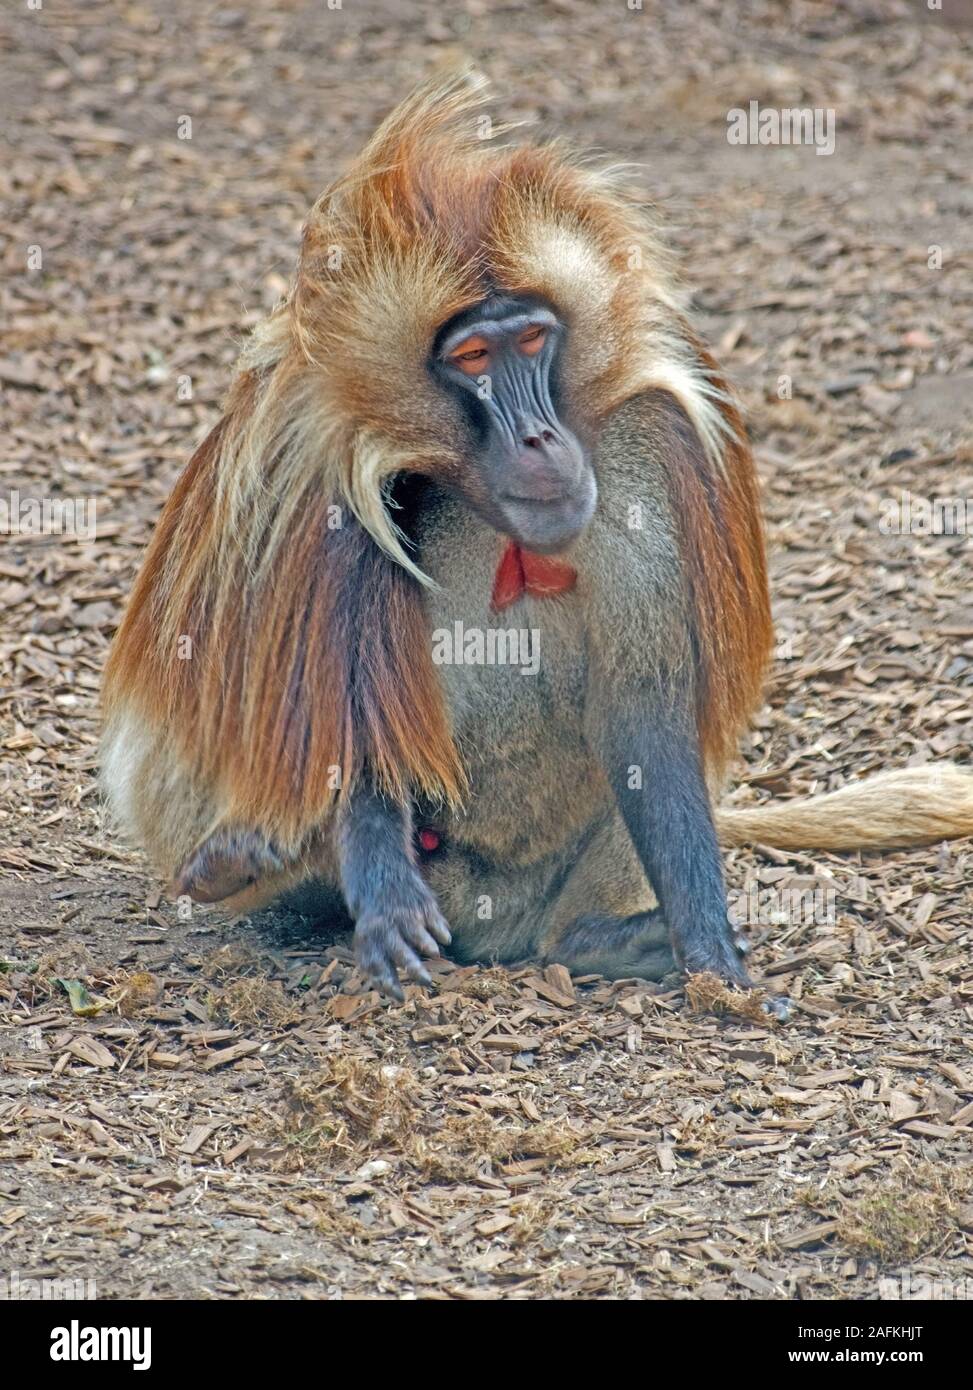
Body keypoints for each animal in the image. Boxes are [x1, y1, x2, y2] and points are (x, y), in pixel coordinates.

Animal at [101, 71, 973, 1002]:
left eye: (529, 339)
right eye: (472, 358)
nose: (538, 439)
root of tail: (494, 929)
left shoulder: (637, 459)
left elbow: (644, 717)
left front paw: (708, 951)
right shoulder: (318, 473)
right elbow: (348, 714)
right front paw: (378, 884)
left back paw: (592, 939)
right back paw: (241, 859)